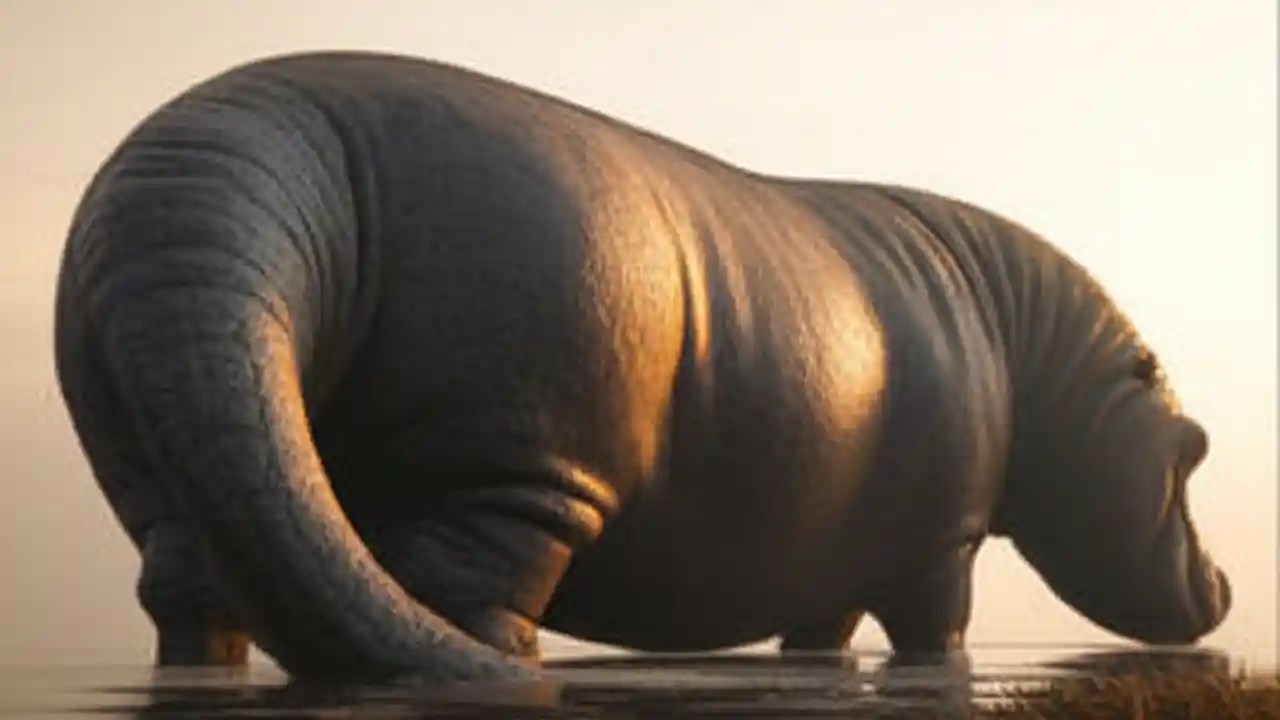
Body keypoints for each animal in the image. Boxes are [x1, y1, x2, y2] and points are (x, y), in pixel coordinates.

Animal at [54, 52, 1229, 680]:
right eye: (1195, 446)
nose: (1222, 584)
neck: (1048, 354)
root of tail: (261, 124)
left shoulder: (856, 542)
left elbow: (825, 619)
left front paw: (814, 665)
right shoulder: (944, 539)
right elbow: (936, 620)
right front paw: (940, 669)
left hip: (157, 444)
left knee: (190, 577)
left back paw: (204, 664)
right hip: (521, 460)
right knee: (463, 583)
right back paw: (513, 668)